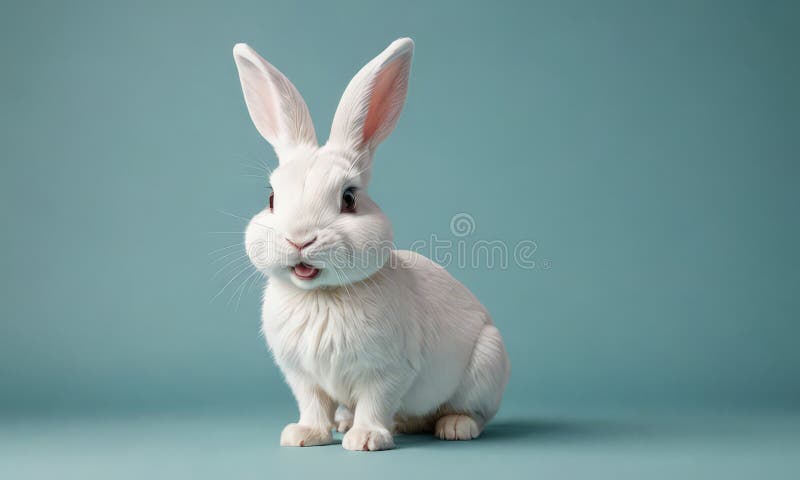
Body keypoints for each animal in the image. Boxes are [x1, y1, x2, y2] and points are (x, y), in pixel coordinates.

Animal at [232, 38, 510, 451]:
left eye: (349, 198)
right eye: (271, 199)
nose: (300, 238)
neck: (322, 295)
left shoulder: (388, 371)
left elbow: (375, 402)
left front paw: (366, 440)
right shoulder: (302, 376)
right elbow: (313, 405)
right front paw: (304, 435)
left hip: (486, 362)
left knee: (468, 412)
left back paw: (454, 427)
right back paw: (351, 423)